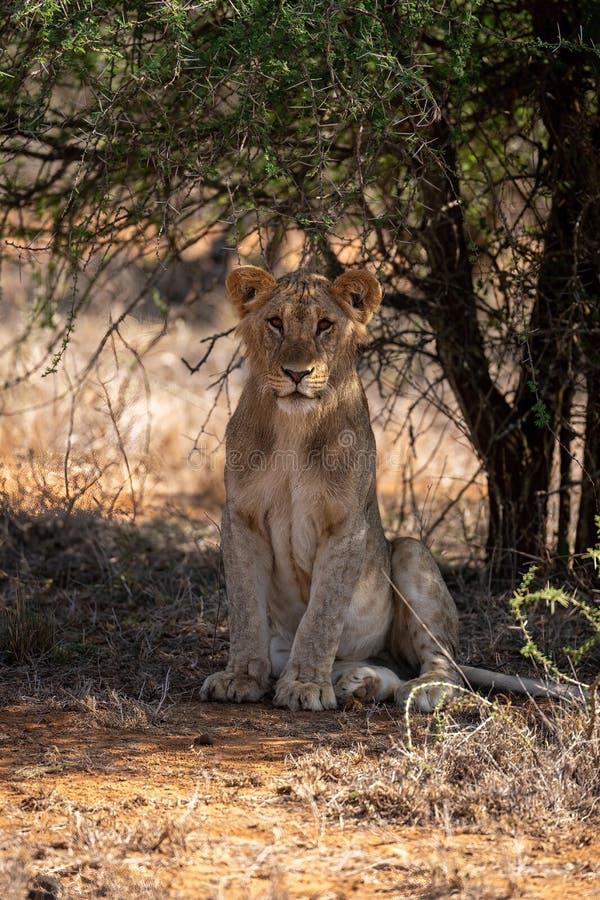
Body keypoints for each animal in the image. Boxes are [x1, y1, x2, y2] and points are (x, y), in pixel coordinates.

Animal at [200, 266, 584, 711]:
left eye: (324, 325)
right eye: (275, 322)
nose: (297, 373)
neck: (294, 426)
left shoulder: (347, 526)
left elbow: (322, 615)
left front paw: (305, 686)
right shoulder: (241, 517)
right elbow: (245, 609)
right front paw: (241, 678)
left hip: (410, 552)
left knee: (444, 666)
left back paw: (422, 689)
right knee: (385, 667)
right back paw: (358, 683)